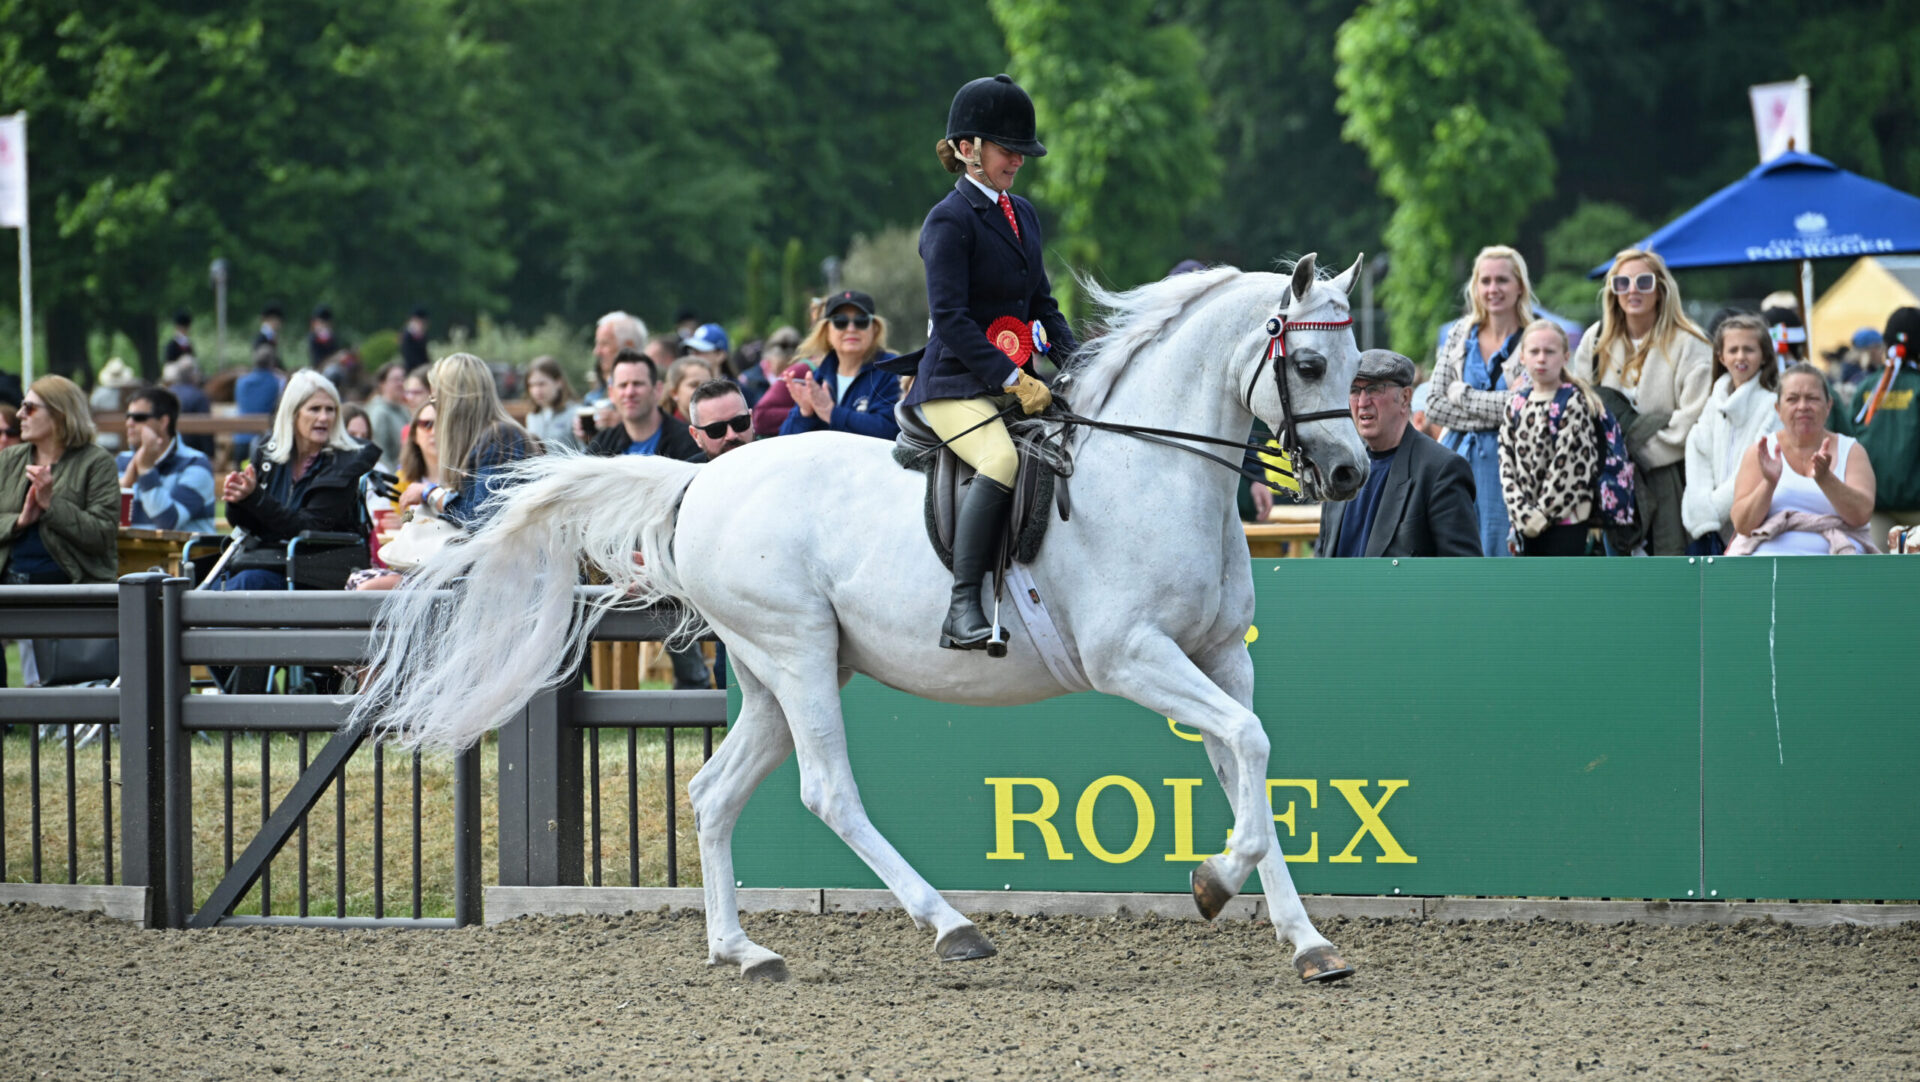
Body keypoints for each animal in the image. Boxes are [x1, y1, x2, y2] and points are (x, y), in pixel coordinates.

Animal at [351, 253, 1372, 983]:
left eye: (1365, 364)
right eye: (1309, 361)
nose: (1350, 474)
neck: (1154, 472)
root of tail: (698, 480)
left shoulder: (1217, 660)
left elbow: (1247, 763)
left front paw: (1304, 939)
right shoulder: (1133, 658)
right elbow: (1248, 750)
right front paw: (1211, 882)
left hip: (778, 673)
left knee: (714, 793)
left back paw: (743, 952)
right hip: (798, 653)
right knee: (827, 793)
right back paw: (951, 927)